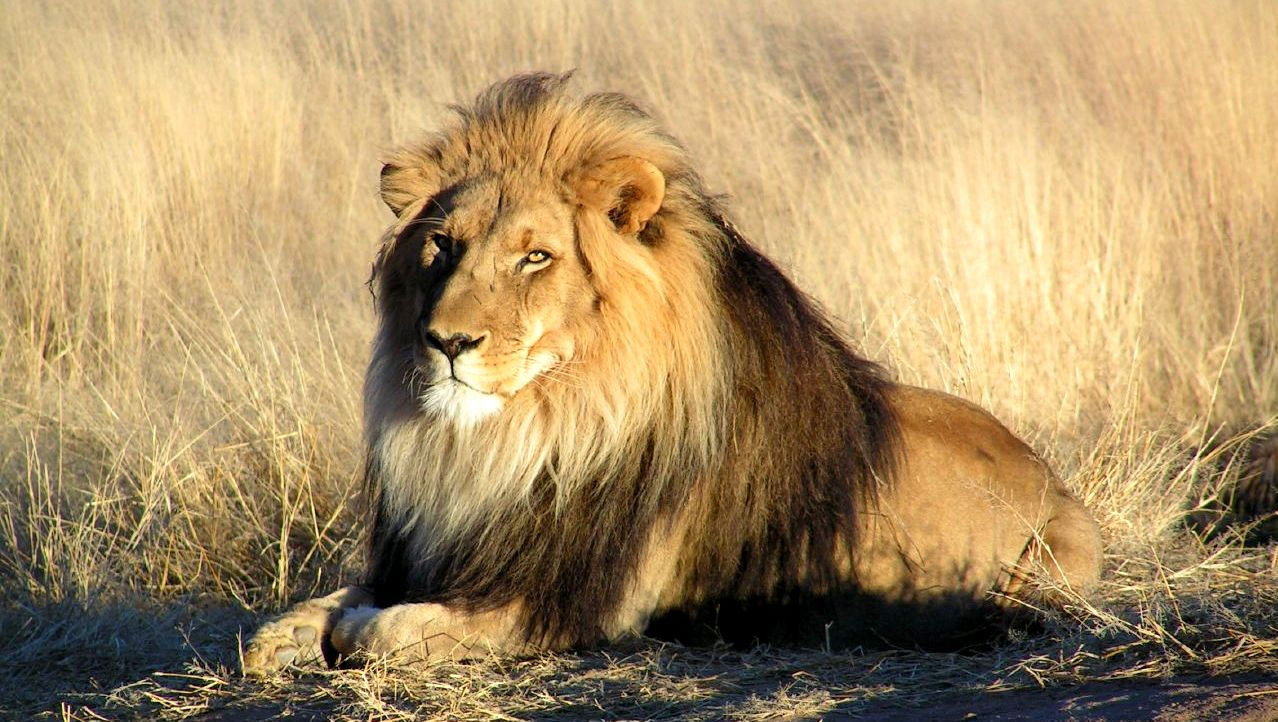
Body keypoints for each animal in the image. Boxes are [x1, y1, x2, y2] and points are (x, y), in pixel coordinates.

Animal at [243, 73, 1103, 674]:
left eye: (535, 256)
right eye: (442, 246)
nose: (447, 341)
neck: (519, 436)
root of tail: (1052, 477)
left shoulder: (573, 602)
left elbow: (387, 630)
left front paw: (352, 631)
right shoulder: (442, 551)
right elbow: (318, 608)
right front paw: (286, 635)